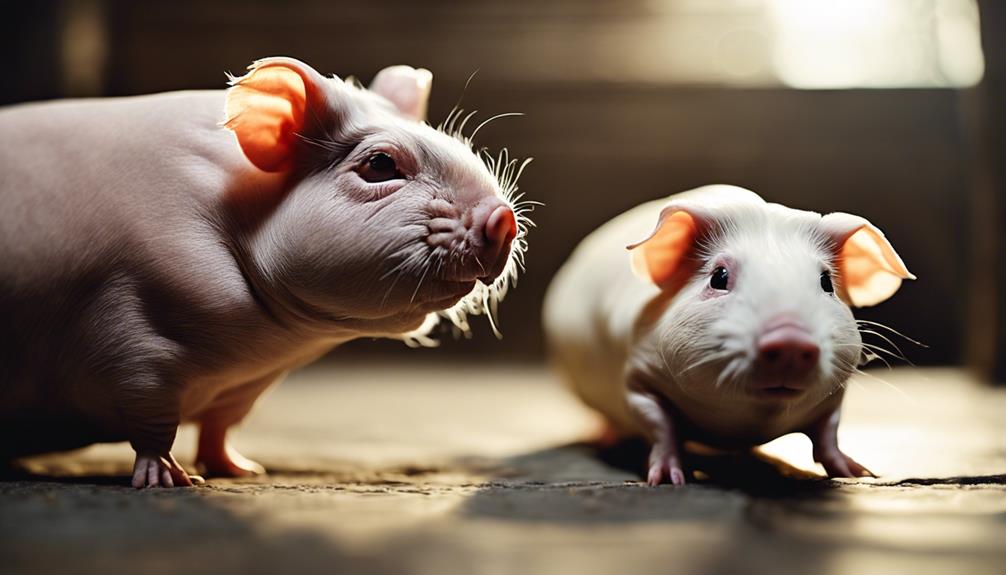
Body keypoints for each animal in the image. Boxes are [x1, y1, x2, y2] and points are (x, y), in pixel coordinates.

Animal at [0, 57, 532, 488]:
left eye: (457, 144)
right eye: (381, 164)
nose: (503, 219)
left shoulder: (245, 383)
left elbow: (220, 427)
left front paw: (241, 469)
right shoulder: (133, 333)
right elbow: (153, 424)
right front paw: (169, 479)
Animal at [543, 185, 914, 485]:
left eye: (826, 283)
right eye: (719, 277)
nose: (791, 341)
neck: (742, 424)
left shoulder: (834, 394)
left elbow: (828, 435)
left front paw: (861, 473)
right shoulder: (638, 380)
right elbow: (661, 427)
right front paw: (669, 479)